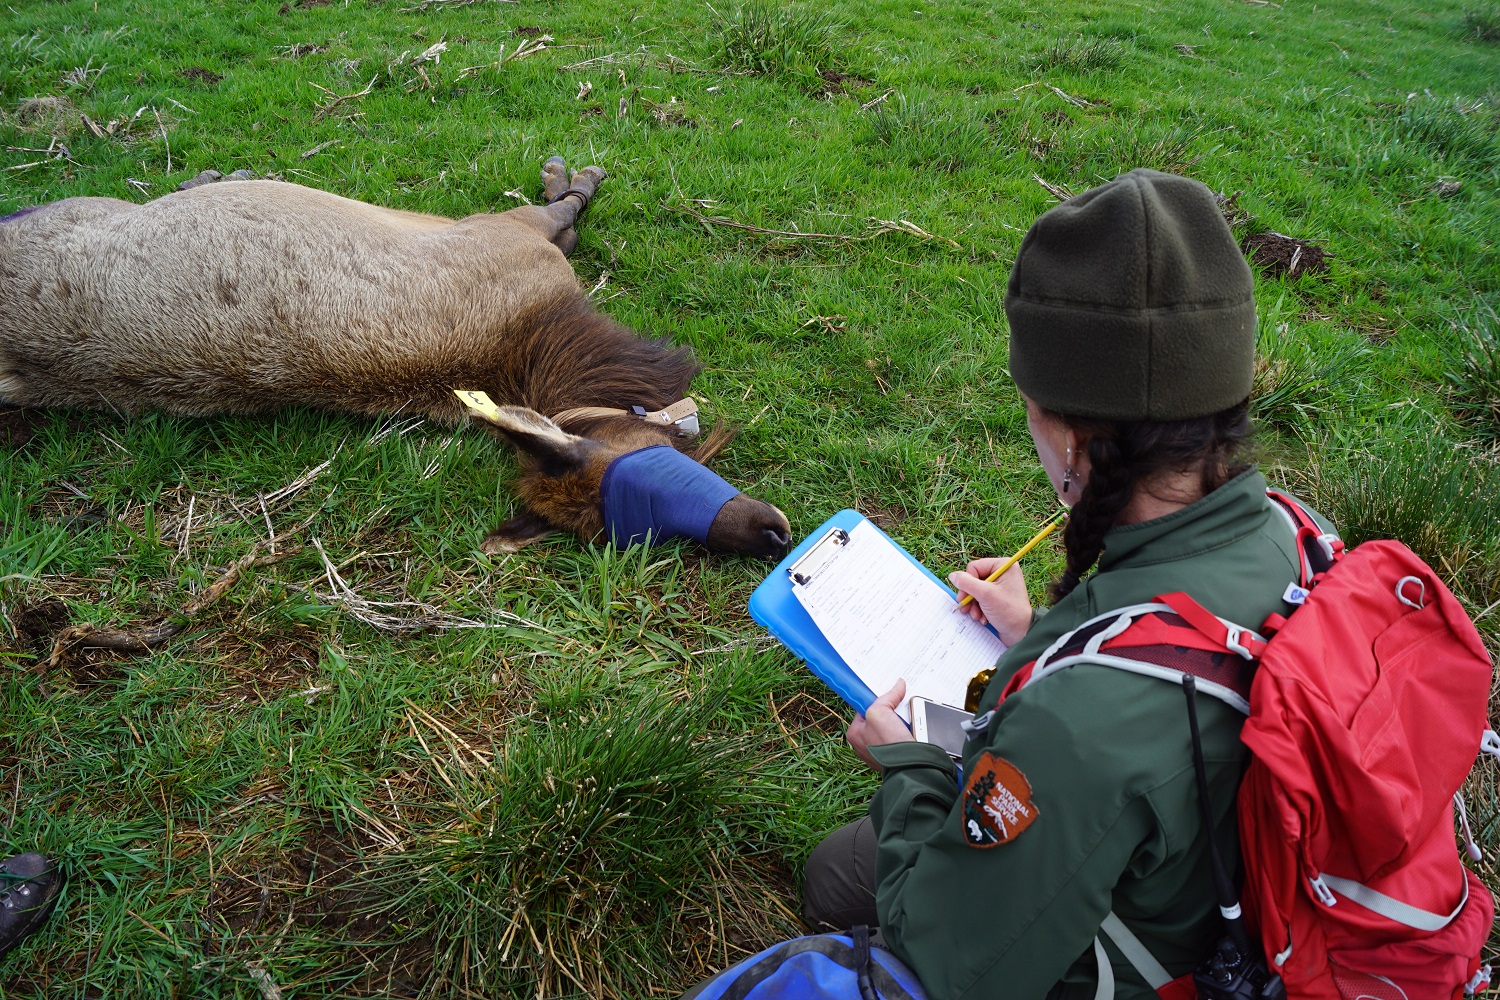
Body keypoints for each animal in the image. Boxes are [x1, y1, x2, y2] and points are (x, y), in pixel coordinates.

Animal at [0, 157, 792, 560]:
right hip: (79, 209)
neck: (531, 336)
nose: (769, 533)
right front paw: (575, 175)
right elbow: (565, 205)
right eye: (653, 491)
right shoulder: (507, 232)